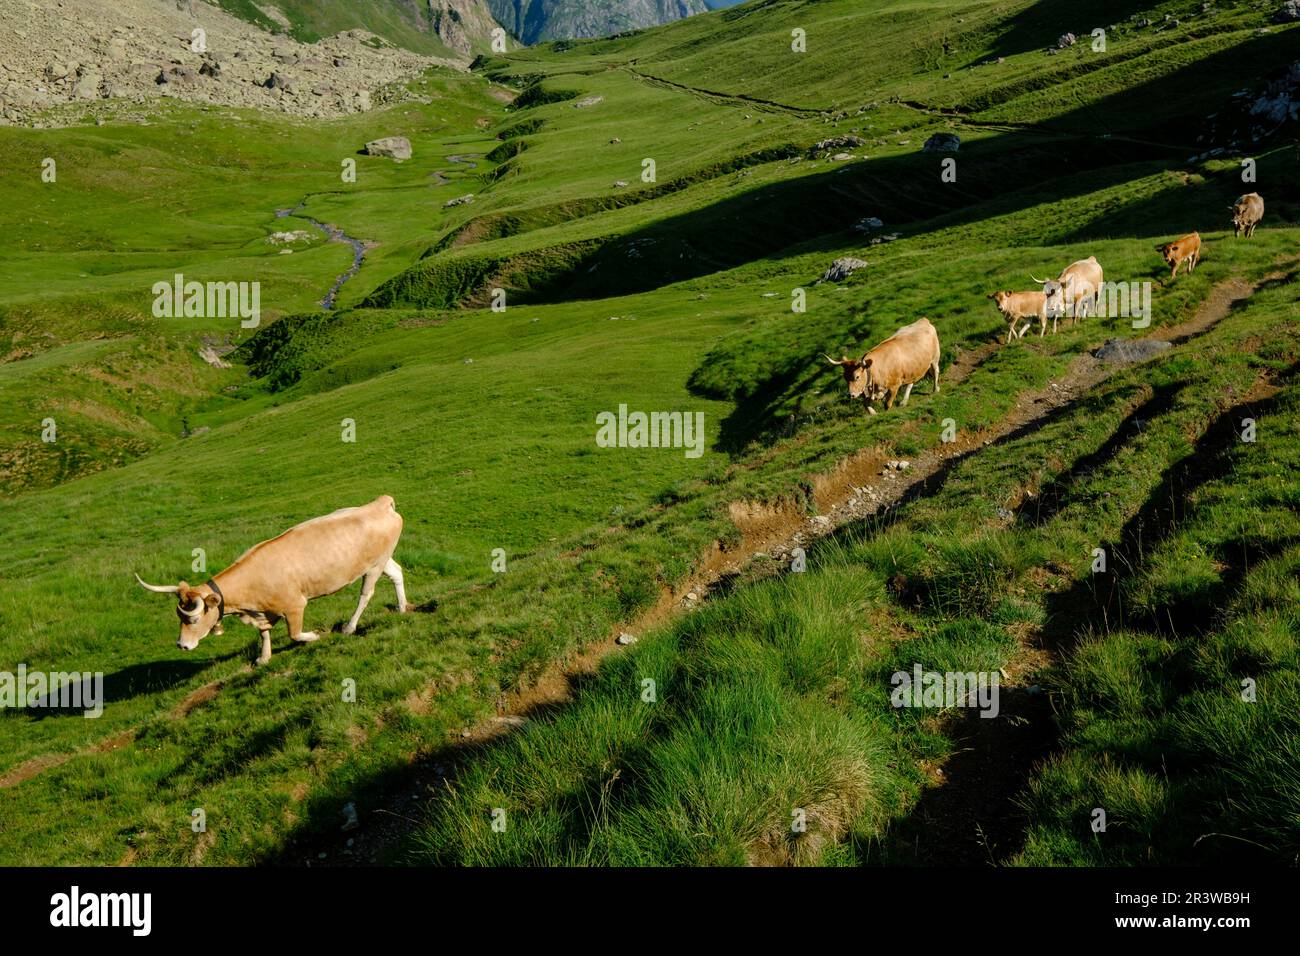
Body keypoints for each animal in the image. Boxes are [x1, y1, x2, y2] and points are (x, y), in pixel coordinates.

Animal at [135, 495, 410, 665]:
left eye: (192, 619)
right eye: (179, 617)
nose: (181, 645)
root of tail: (379, 503)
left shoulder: (295, 605)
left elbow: (295, 634)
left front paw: (315, 636)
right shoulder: (261, 612)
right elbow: (264, 633)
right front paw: (263, 658)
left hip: (374, 566)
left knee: (366, 594)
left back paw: (349, 627)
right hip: (383, 560)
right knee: (397, 573)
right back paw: (401, 607)